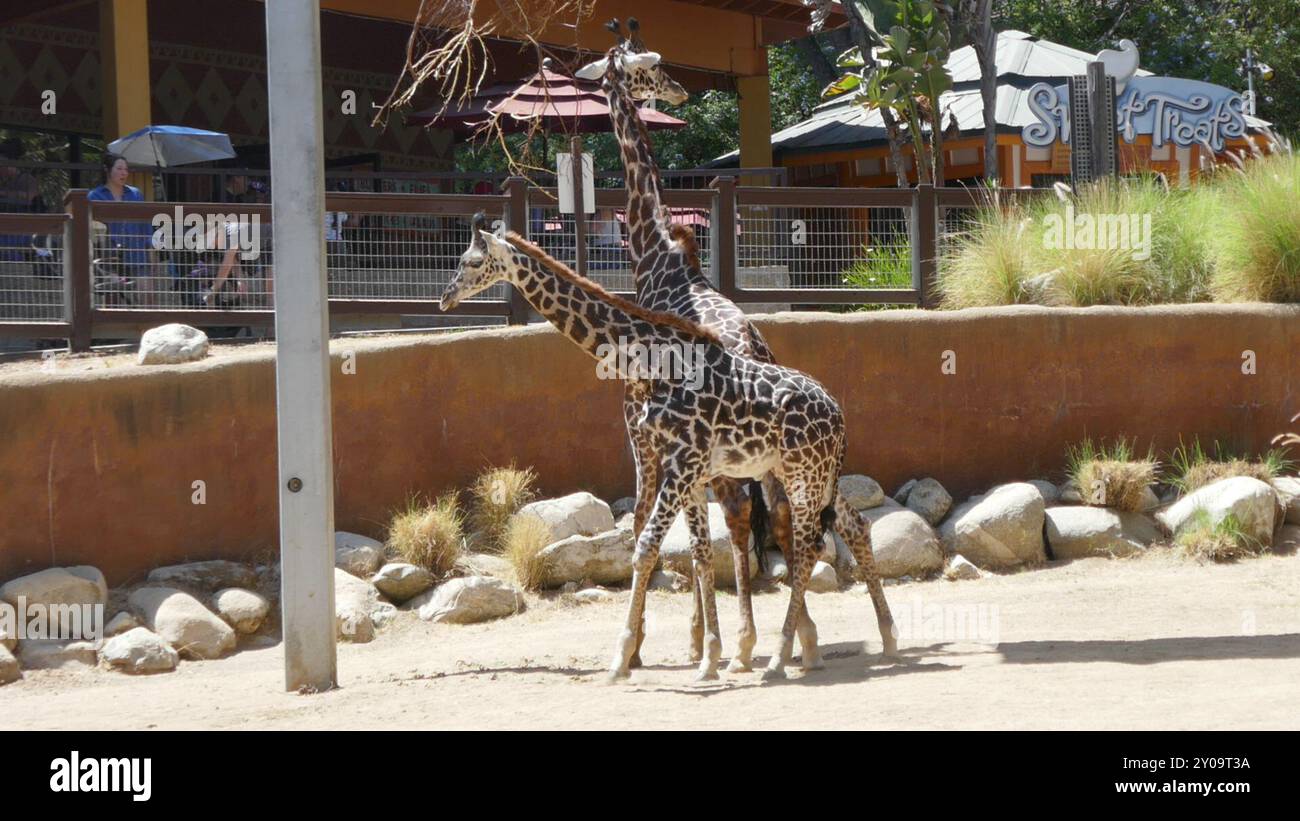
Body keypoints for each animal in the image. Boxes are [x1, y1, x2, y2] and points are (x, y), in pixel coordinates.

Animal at [440, 215, 885, 680]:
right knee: (834, 530)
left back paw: (785, 655)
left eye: (471, 261)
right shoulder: (686, 468)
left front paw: (624, 658)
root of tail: (839, 415)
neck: (653, 361)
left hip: (803, 475)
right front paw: (706, 656)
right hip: (803, 474)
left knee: (809, 543)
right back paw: (855, 642)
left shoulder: (682, 462)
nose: (445, 297)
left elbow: (646, 548)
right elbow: (697, 551)